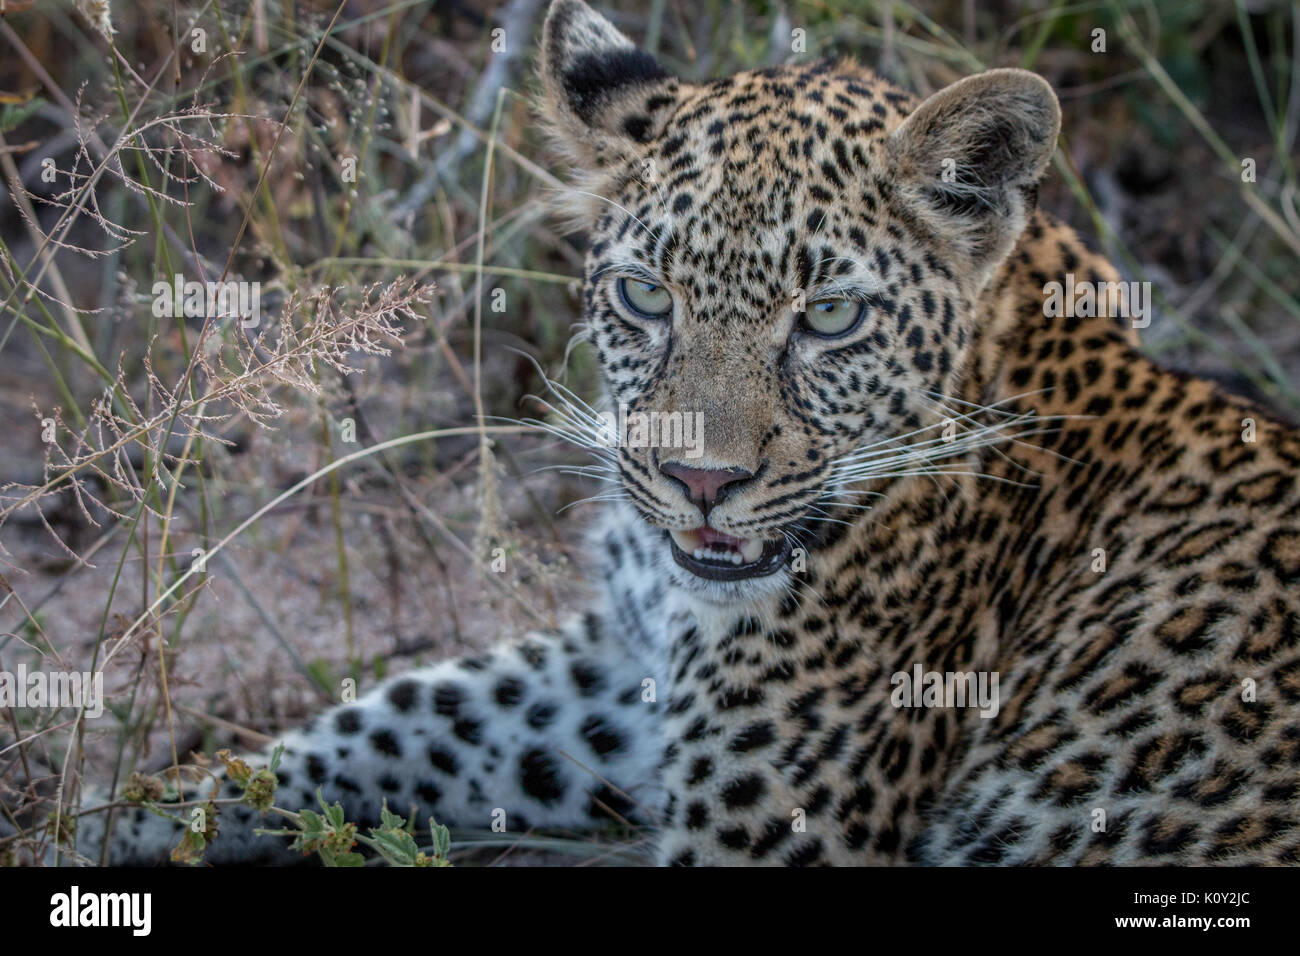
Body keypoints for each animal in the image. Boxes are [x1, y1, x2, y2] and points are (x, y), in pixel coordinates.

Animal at [54, 0, 1300, 866]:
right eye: (647, 296)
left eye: (829, 315)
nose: (701, 482)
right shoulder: (624, 662)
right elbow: (417, 708)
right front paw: (137, 811)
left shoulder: (766, 827)